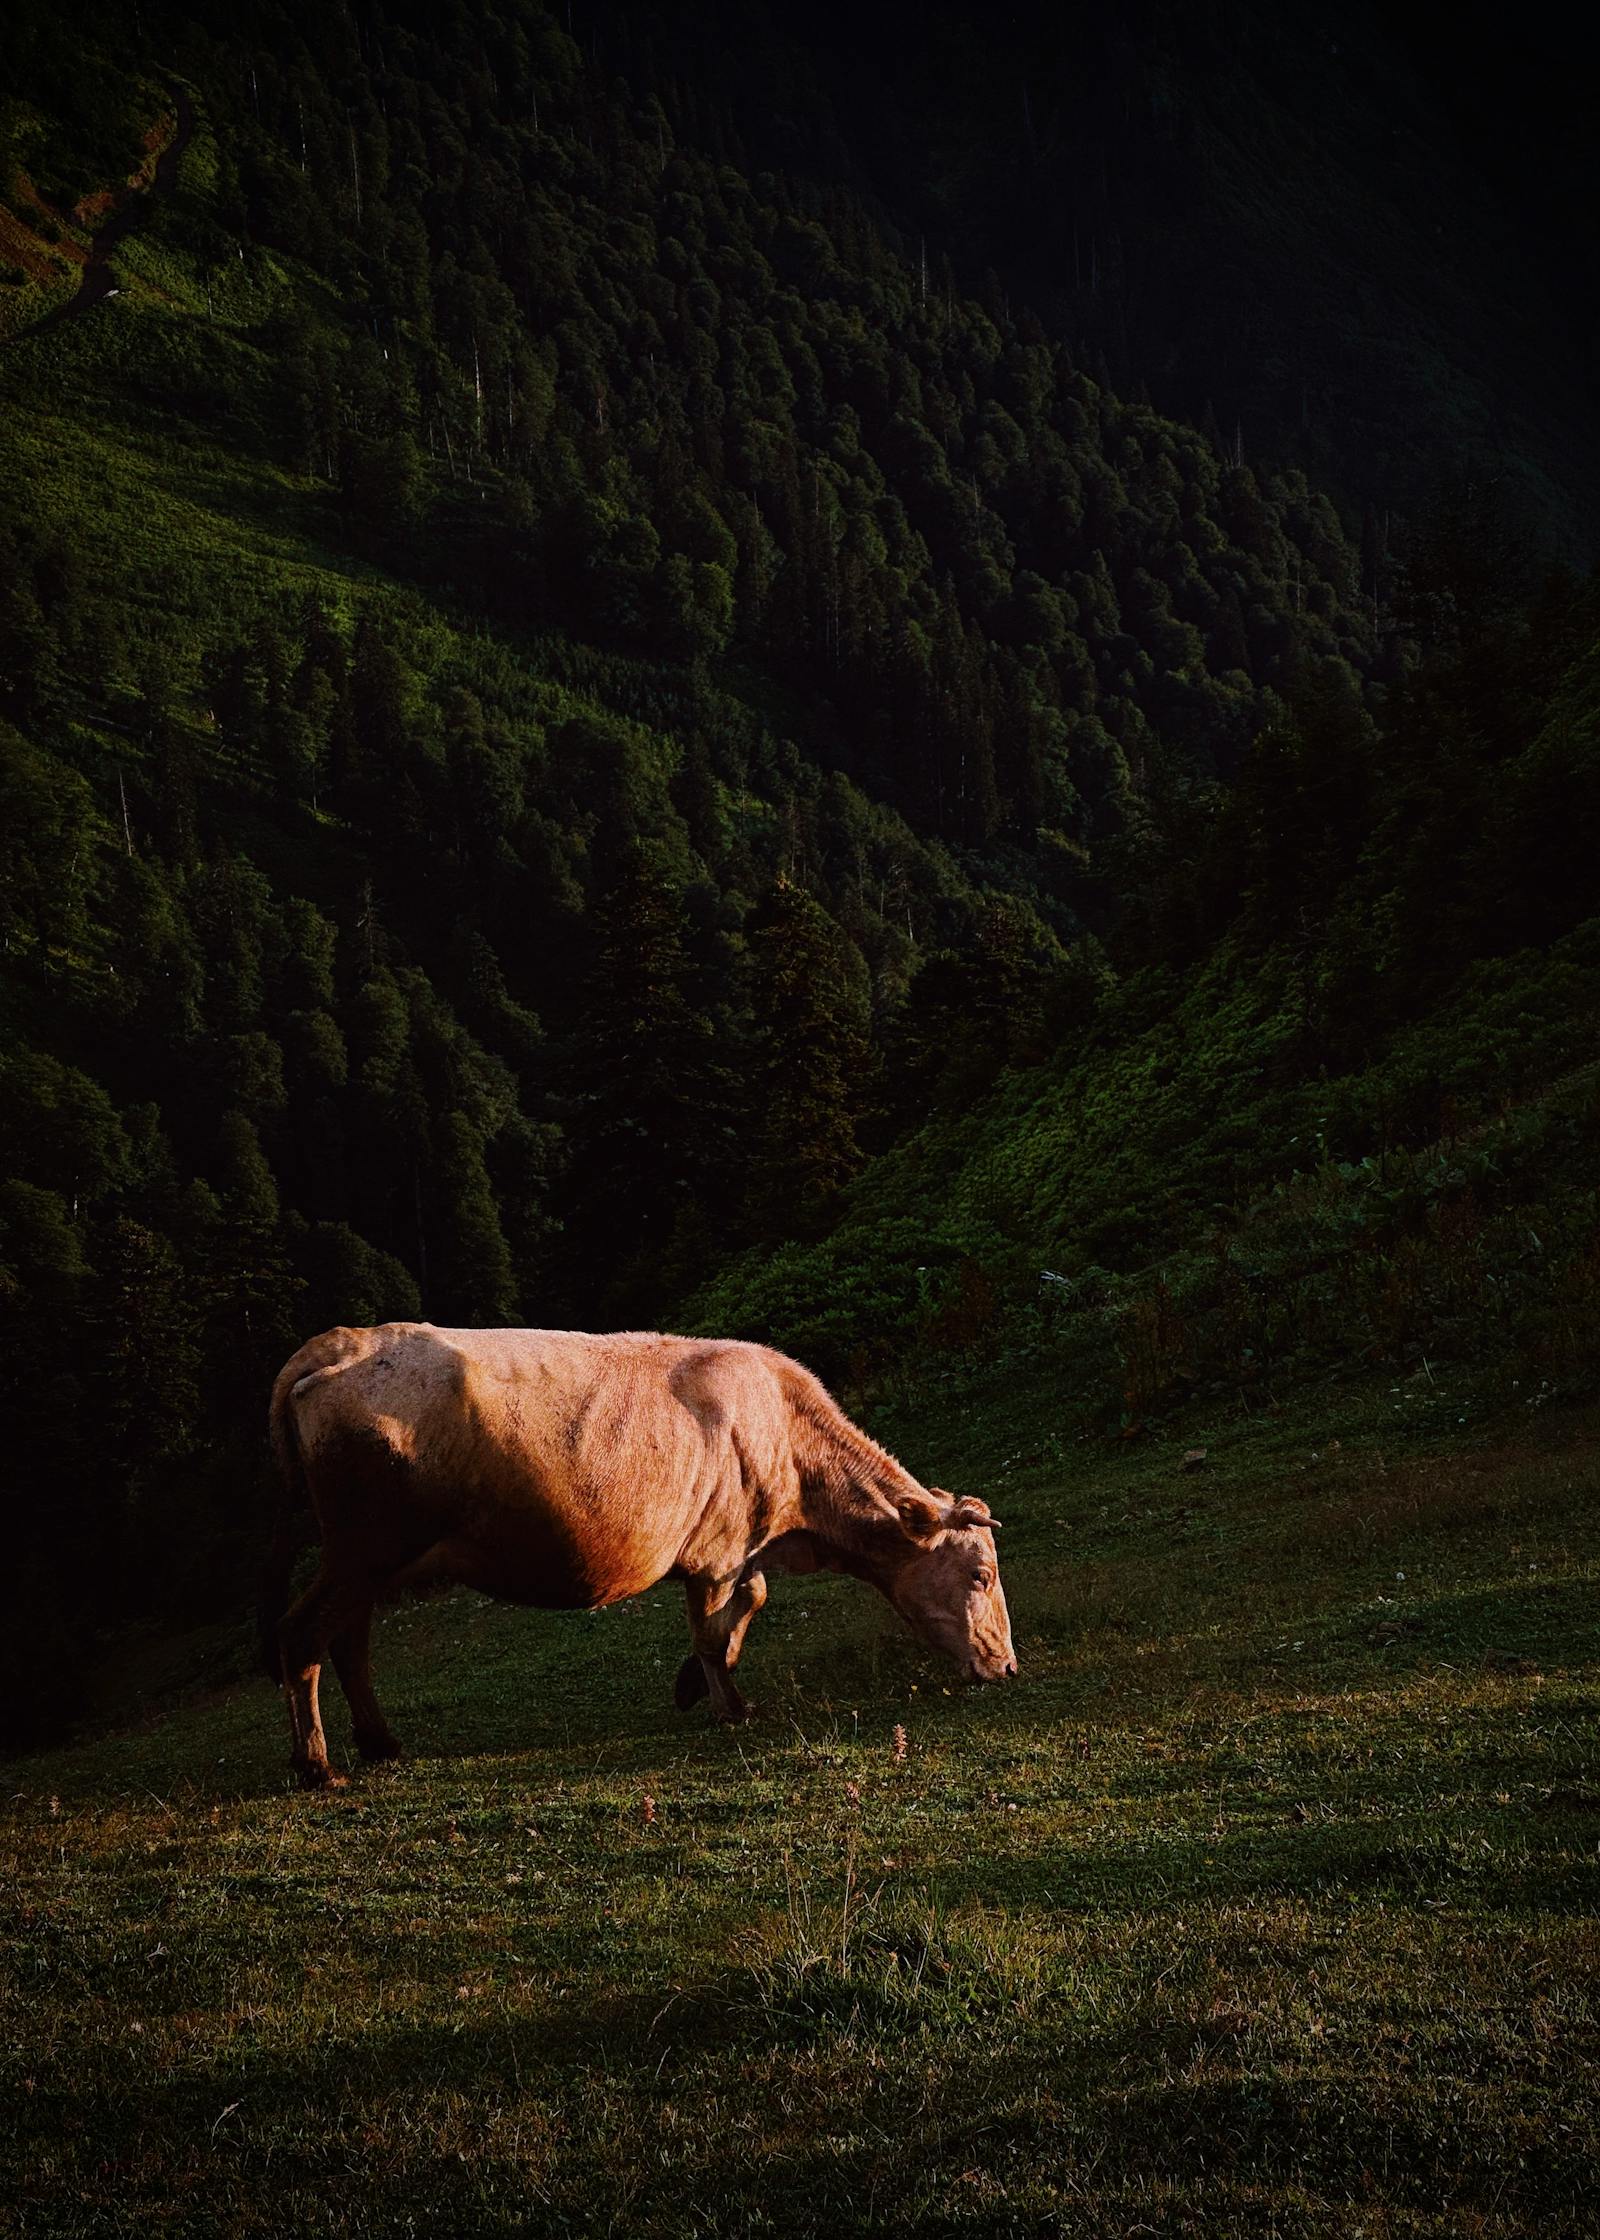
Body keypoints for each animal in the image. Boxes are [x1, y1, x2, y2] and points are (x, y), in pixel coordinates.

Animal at [262, 1322, 1015, 1789]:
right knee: (302, 1632)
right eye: (981, 1574)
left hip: (372, 1560)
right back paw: (317, 1766)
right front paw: (728, 1705)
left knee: (348, 1639)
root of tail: (337, 1342)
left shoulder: (741, 1548)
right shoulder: (716, 1552)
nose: (1008, 1666)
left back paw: (379, 1743)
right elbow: (714, 1630)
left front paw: (693, 1684)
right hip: (367, 1548)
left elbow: (750, 1603)